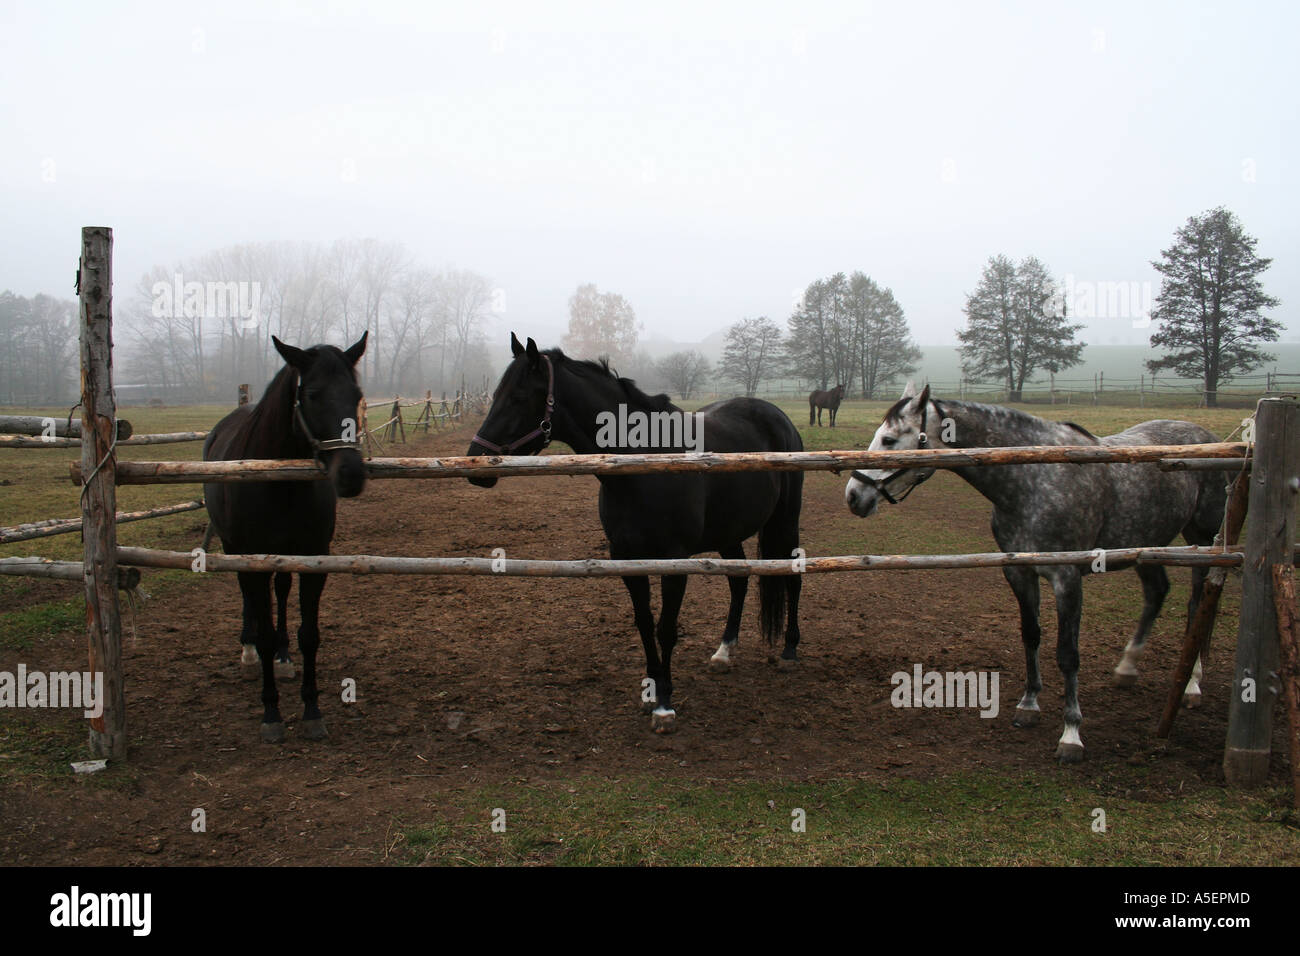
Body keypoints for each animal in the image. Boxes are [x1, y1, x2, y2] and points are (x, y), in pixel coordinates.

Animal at [203, 333, 368, 743]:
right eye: (312, 394)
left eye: (357, 394)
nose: (351, 475)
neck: (279, 482)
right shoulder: (253, 559)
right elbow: (261, 627)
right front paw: (272, 713)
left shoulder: (313, 558)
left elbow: (309, 634)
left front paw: (311, 710)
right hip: (236, 549)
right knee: (249, 600)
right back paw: (249, 653)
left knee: (280, 591)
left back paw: (282, 656)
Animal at [467, 333, 804, 732]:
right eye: (495, 395)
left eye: (518, 397)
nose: (475, 463)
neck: (642, 462)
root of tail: (775, 414)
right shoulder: (625, 557)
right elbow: (643, 623)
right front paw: (651, 690)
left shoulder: (674, 560)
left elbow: (666, 628)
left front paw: (665, 704)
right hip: (729, 532)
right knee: (739, 582)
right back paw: (724, 651)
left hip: (786, 521)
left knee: (794, 577)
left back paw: (789, 651)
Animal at [843, 382, 1226, 763]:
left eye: (890, 439)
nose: (853, 496)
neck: (1035, 479)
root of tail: (1208, 437)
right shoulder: (1019, 572)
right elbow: (1031, 635)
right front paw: (1028, 705)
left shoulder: (1067, 579)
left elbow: (1068, 655)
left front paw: (1071, 734)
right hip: (1147, 544)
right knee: (1157, 593)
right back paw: (1127, 669)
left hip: (1203, 543)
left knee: (1198, 610)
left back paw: (1191, 685)